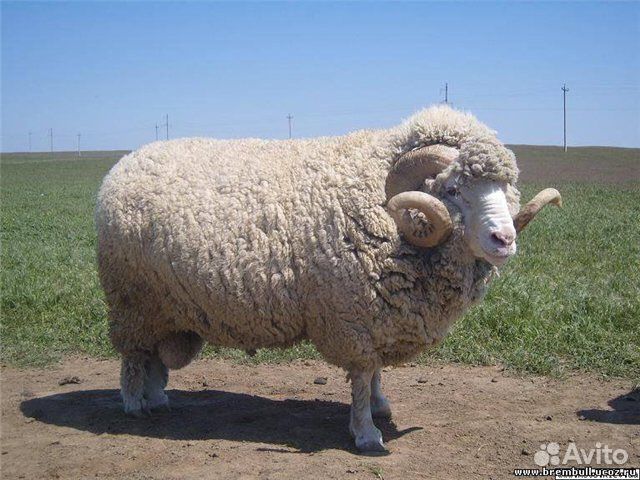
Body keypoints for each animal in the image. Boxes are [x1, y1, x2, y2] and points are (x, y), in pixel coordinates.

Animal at [95, 105, 561, 452]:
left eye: (505, 187)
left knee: (153, 357)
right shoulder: (351, 315)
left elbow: (376, 372)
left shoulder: (379, 313)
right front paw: (366, 432)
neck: (385, 210)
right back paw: (134, 404)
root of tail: (123, 164)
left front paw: (381, 406)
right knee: (133, 356)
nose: (504, 239)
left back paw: (158, 399)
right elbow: (362, 374)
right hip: (132, 299)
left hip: (164, 306)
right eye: (451, 189)